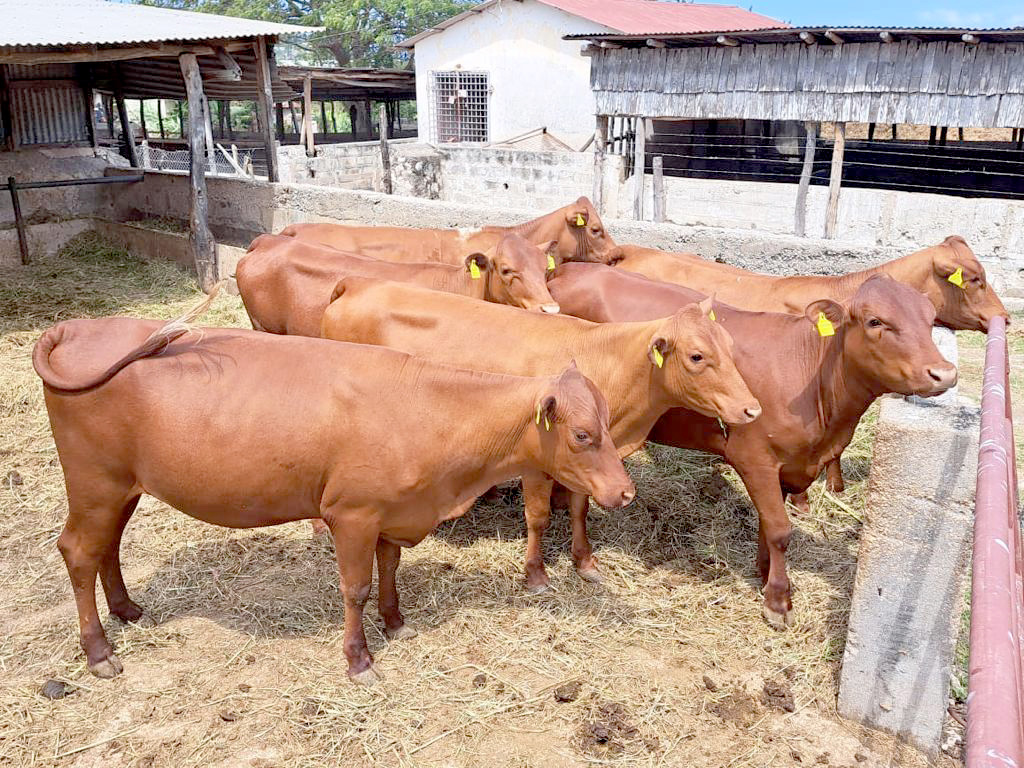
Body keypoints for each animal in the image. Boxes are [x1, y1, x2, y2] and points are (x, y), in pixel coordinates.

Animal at [34, 307, 633, 685]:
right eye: (584, 435)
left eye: (608, 423)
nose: (625, 492)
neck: (428, 410)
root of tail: (76, 327)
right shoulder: (352, 514)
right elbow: (355, 588)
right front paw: (359, 659)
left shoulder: (393, 511)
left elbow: (390, 568)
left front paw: (396, 622)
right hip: (94, 482)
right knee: (79, 551)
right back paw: (98, 651)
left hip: (121, 488)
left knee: (107, 546)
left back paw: (127, 609)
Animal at [320, 276, 761, 591]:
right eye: (697, 356)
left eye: (729, 344)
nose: (752, 408)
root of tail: (358, 284)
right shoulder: (535, 463)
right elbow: (538, 516)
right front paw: (535, 574)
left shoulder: (587, 461)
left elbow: (581, 508)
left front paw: (585, 562)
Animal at [546, 263, 957, 627]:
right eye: (875, 322)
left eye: (929, 319)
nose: (944, 373)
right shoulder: (754, 459)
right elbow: (779, 529)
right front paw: (778, 600)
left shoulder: (790, 466)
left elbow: (768, 524)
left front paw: (764, 573)